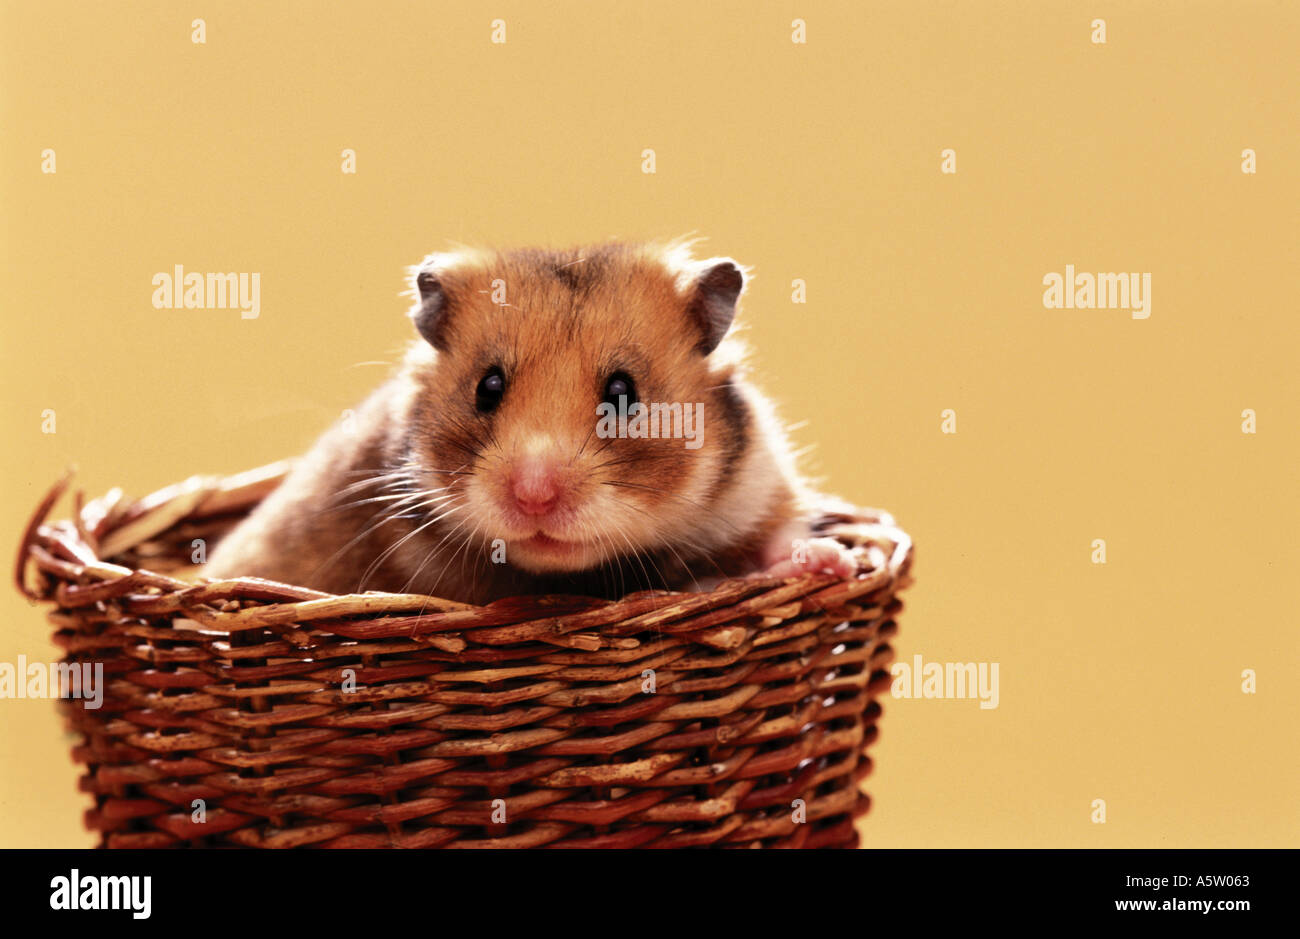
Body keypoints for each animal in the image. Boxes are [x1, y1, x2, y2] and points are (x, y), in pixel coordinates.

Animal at [203, 239, 863, 604]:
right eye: (487, 387)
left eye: (623, 393)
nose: (534, 497)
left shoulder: (758, 485)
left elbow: (779, 535)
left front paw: (835, 563)